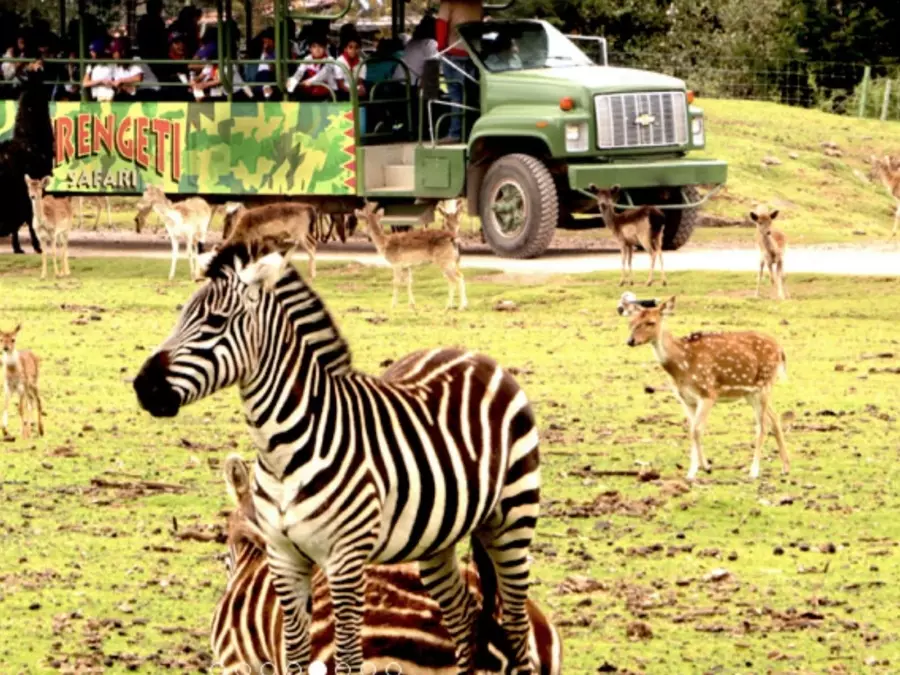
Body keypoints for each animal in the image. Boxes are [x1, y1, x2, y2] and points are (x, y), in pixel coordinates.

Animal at [624, 296, 792, 480]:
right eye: (631, 321)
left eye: (651, 322)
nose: (630, 341)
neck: (681, 366)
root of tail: (781, 350)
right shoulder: (686, 399)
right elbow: (691, 430)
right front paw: (695, 471)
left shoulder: (708, 392)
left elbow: (697, 430)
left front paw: (702, 468)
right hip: (751, 393)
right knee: (774, 418)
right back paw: (785, 467)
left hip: (764, 384)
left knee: (762, 426)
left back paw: (754, 471)